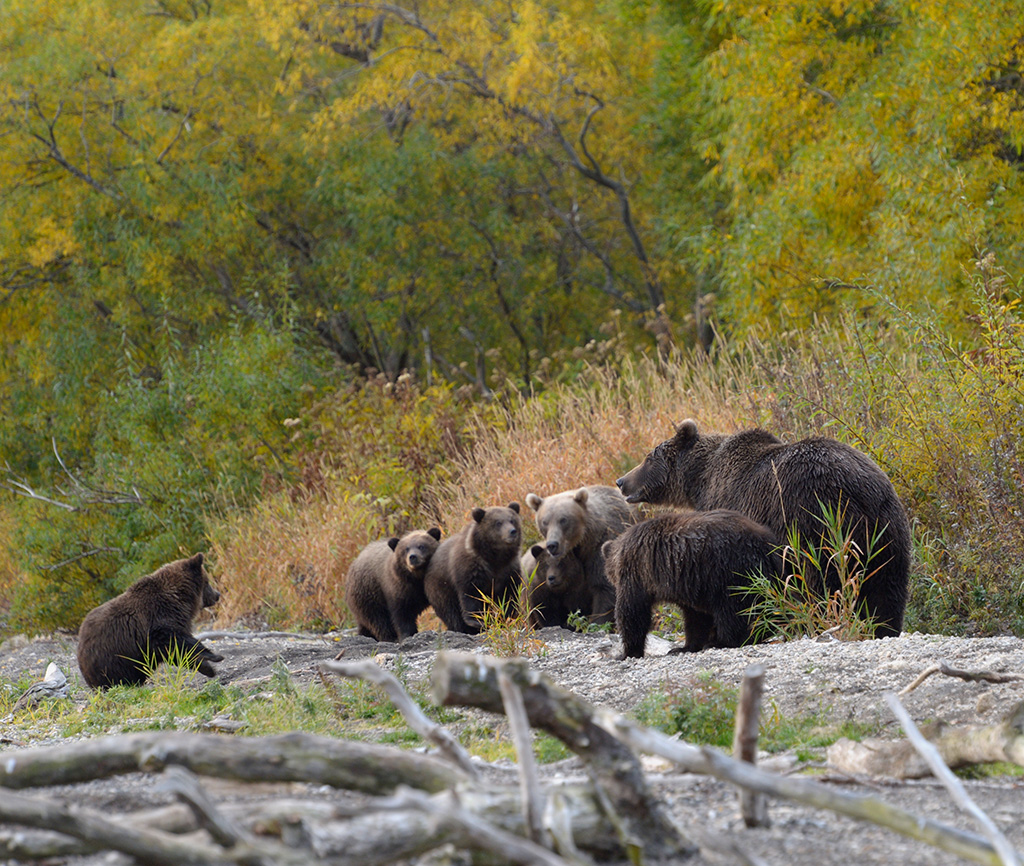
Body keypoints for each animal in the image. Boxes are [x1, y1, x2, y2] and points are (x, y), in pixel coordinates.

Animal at [76, 556, 225, 691]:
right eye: (207, 582)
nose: (217, 594)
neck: (180, 599)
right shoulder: (158, 621)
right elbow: (176, 642)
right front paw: (214, 657)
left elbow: (175, 652)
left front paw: (207, 667)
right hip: (112, 657)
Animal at [421, 501, 524, 638]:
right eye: (498, 522)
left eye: (512, 520)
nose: (512, 531)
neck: (494, 557)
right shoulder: (470, 568)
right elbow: (471, 593)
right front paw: (476, 621)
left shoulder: (508, 570)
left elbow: (509, 594)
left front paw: (508, 616)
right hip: (440, 588)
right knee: (450, 611)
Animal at [598, 507, 782, 659]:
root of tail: (768, 541)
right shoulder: (692, 583)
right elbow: (696, 618)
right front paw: (684, 647)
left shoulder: (637, 574)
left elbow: (632, 613)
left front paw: (627, 652)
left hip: (733, 569)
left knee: (734, 609)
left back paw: (724, 641)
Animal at [614, 419, 913, 638]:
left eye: (648, 458)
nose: (621, 481)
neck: (700, 479)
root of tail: (858, 491)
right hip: (887, 530)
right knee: (888, 590)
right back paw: (883, 629)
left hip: (813, 522)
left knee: (819, 581)